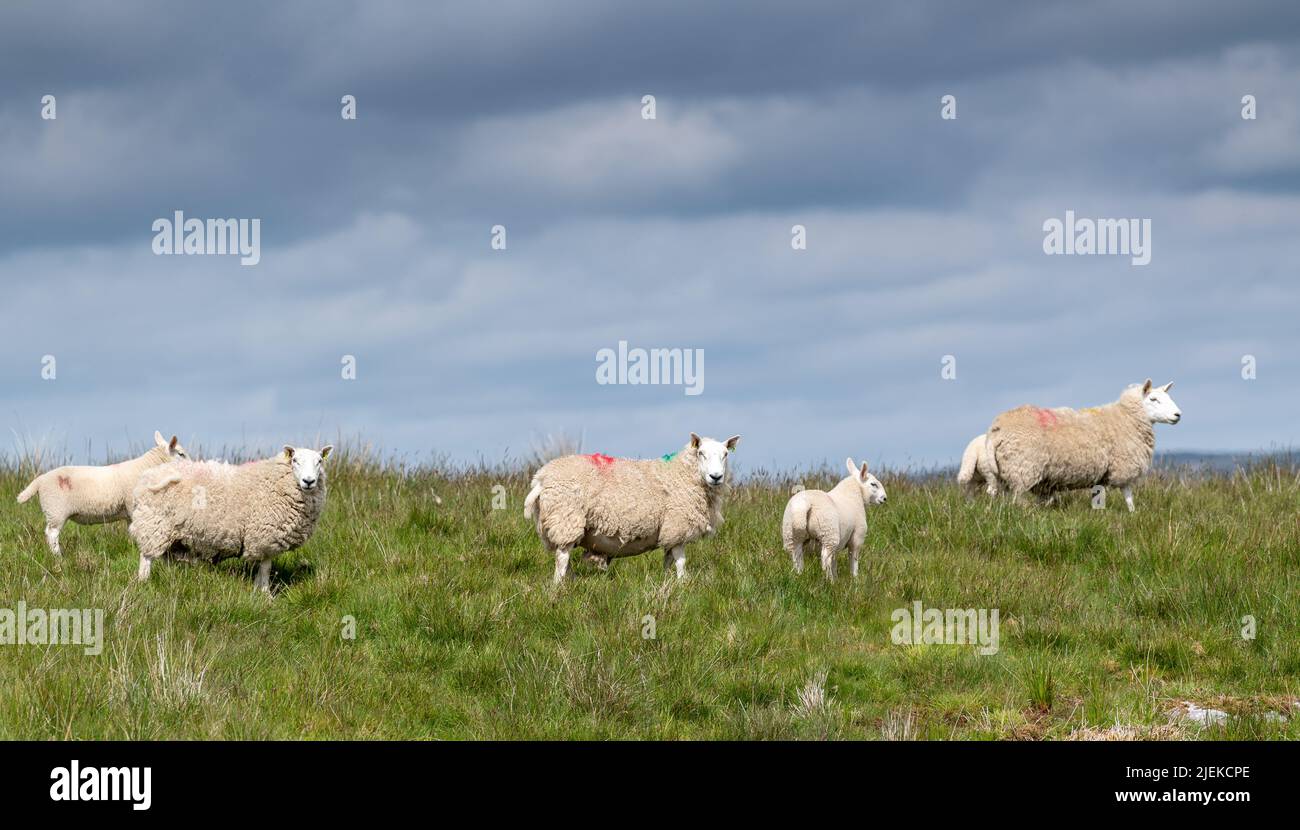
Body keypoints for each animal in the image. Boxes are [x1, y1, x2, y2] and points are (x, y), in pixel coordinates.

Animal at [15, 431, 190, 555]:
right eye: (181, 454)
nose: (193, 466)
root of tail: (40, 480)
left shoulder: (129, 511)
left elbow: (132, 530)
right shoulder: (133, 505)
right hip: (55, 509)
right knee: (52, 533)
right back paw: (58, 557)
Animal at [128, 445, 332, 591]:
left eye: (319, 461)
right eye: (295, 460)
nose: (308, 481)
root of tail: (148, 476)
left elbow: (264, 569)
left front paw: (260, 592)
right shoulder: (264, 536)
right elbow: (266, 568)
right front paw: (265, 594)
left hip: (171, 533)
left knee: (165, 557)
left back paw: (171, 579)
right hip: (154, 524)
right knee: (146, 557)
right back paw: (144, 582)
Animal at [523, 432, 740, 584]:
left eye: (725, 455)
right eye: (701, 453)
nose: (716, 477)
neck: (683, 473)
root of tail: (541, 478)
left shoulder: (670, 531)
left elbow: (668, 560)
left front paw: (666, 582)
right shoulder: (678, 526)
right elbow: (680, 560)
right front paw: (683, 583)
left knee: (565, 559)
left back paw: (573, 582)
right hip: (566, 519)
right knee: (562, 559)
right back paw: (560, 587)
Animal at [987, 379, 1180, 511]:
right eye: (1154, 399)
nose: (1178, 414)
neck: (1127, 417)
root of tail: (997, 429)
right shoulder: (1124, 466)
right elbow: (1128, 495)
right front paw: (1132, 514)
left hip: (1004, 473)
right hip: (1022, 470)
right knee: (1016, 500)